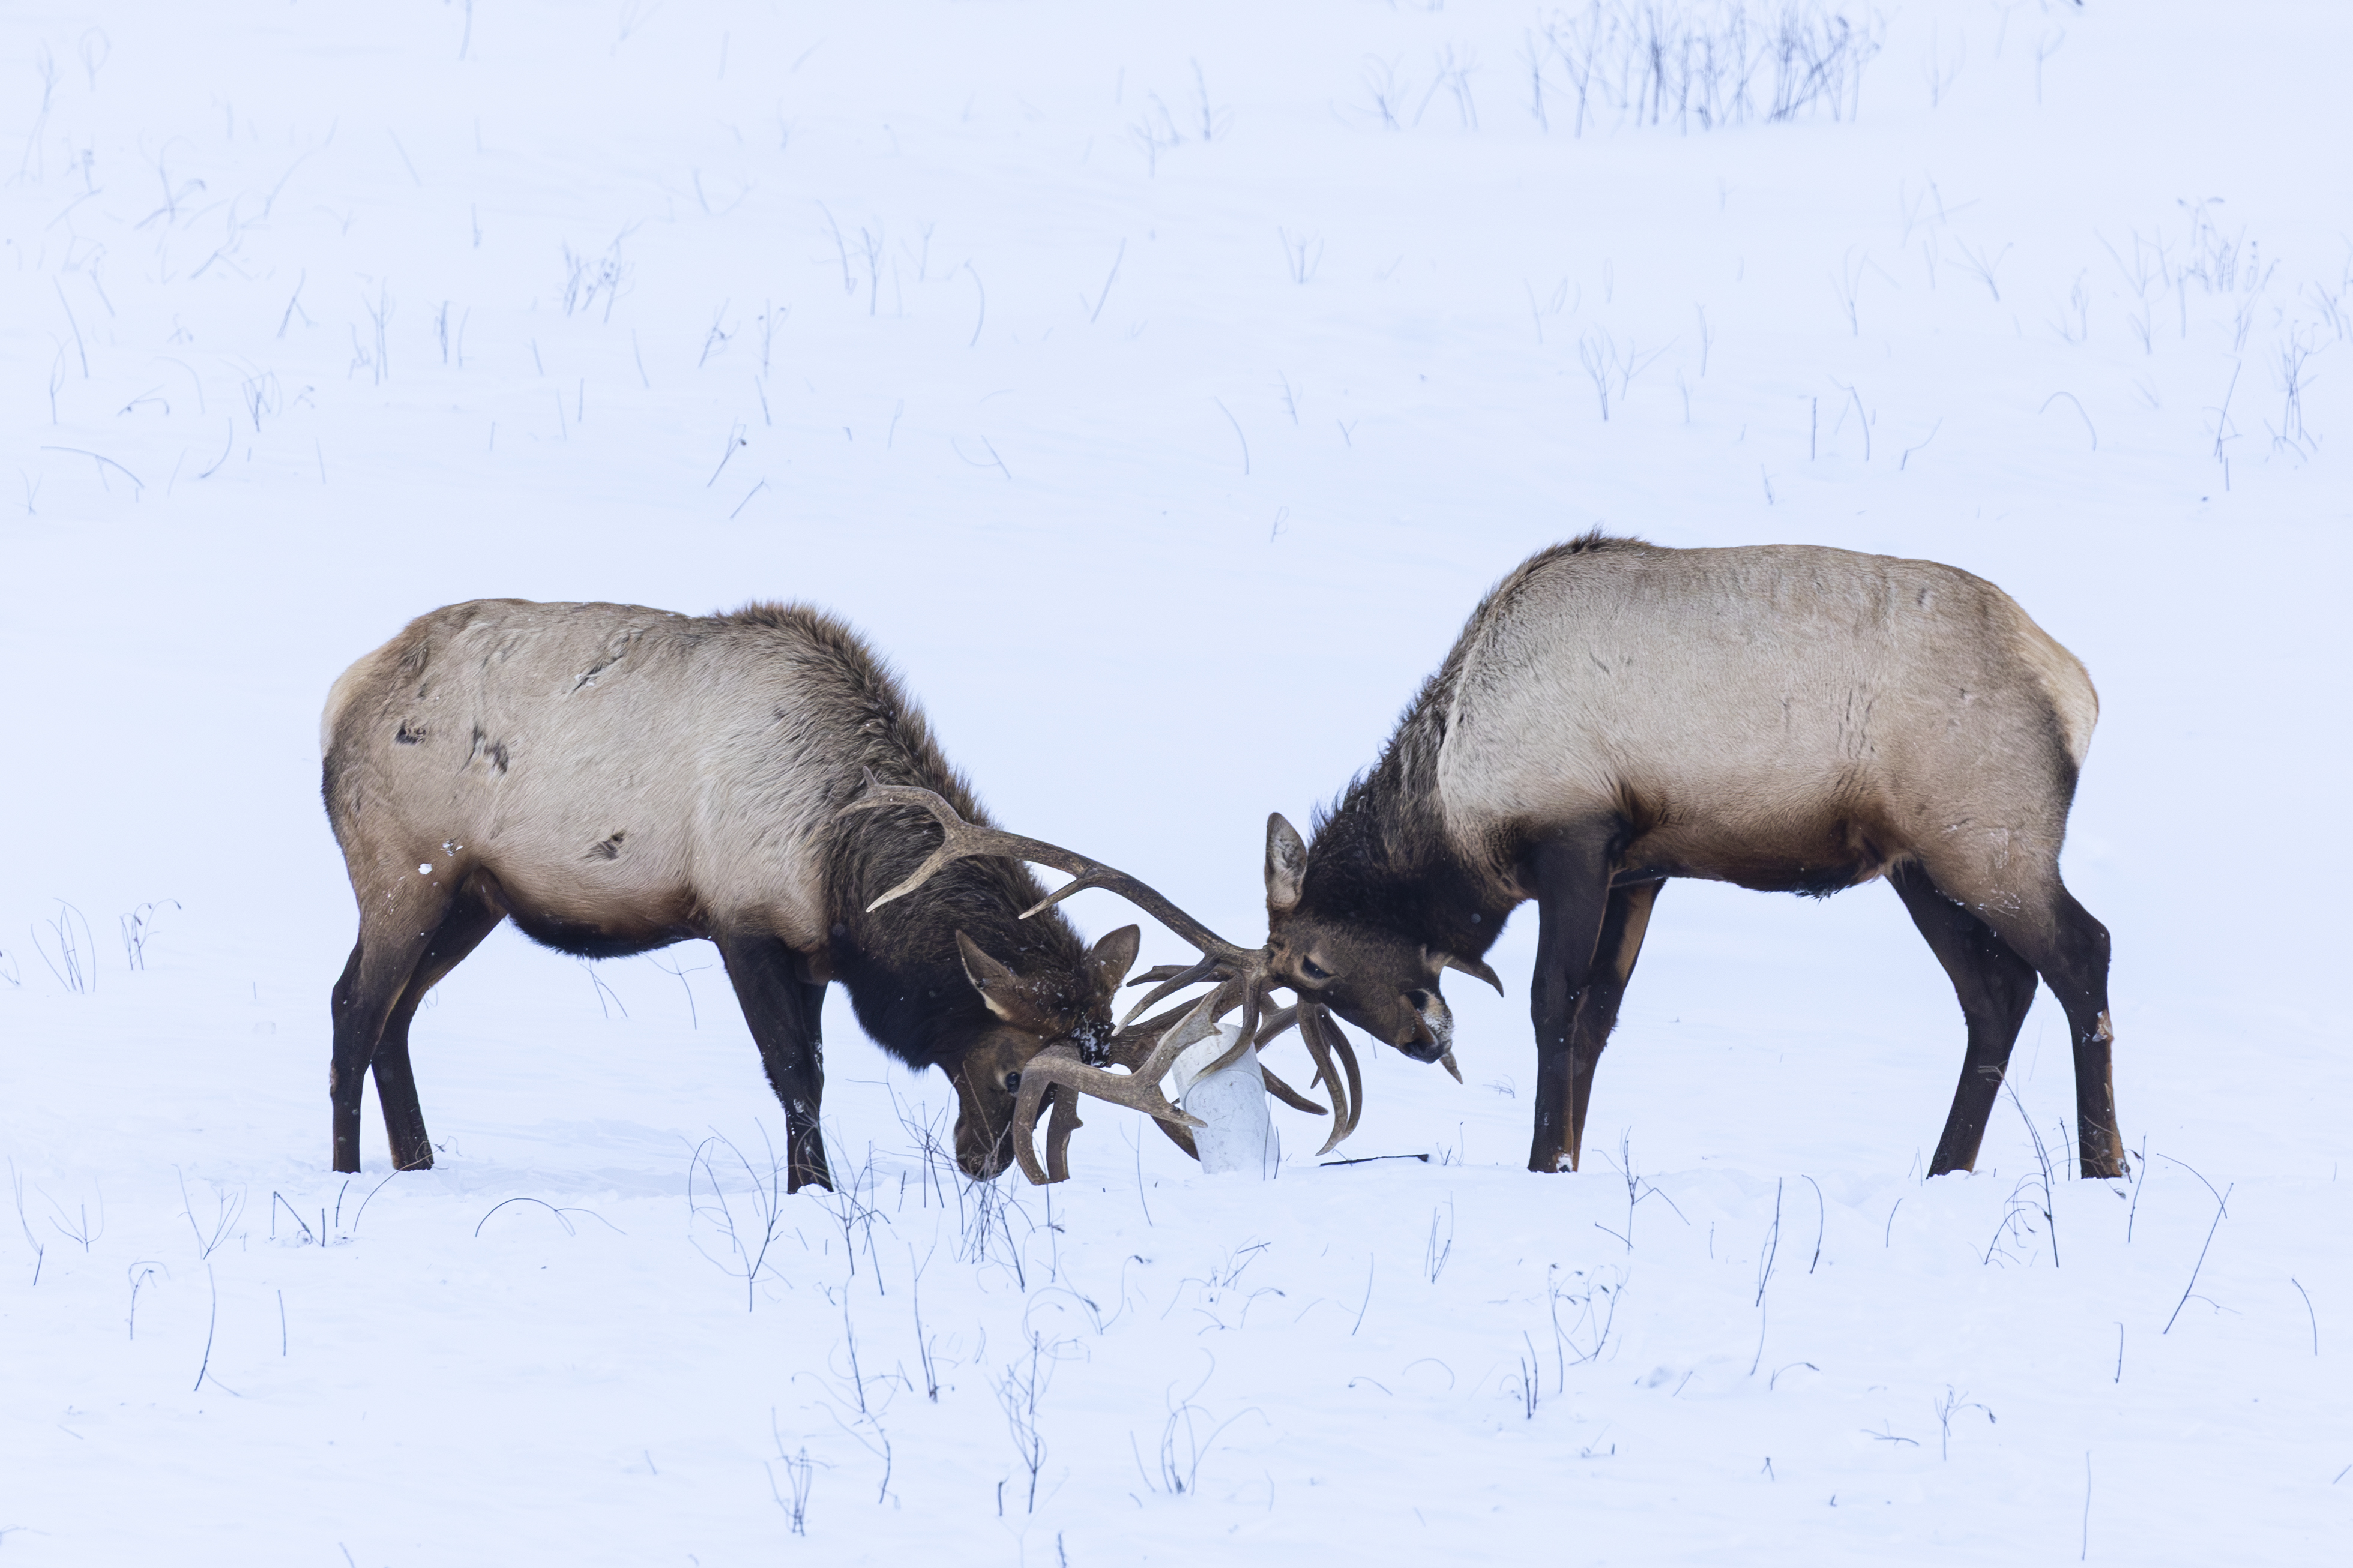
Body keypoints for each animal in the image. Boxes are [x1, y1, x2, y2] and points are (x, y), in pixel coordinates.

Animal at [318, 597, 1200, 1191]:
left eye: (1071, 1091)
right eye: (1017, 1075)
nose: (983, 1164)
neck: (843, 868)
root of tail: (343, 695)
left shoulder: (811, 954)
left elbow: (811, 1075)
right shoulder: (741, 922)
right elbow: (794, 1075)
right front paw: (815, 1190)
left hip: (474, 899)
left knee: (397, 1015)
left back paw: (417, 1164)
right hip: (404, 871)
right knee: (354, 1005)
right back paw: (347, 1173)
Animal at [1230, 532, 2124, 1179]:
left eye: (1313, 964)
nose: (1424, 1042)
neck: (1458, 805)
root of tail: (2078, 690)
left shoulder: (1575, 838)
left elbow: (1552, 1002)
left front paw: (1542, 1161)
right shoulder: (1641, 868)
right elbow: (1597, 1016)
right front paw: (1567, 1157)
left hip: (1987, 841)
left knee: (2082, 953)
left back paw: (2102, 1167)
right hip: (1920, 867)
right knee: (1997, 994)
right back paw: (1947, 1169)